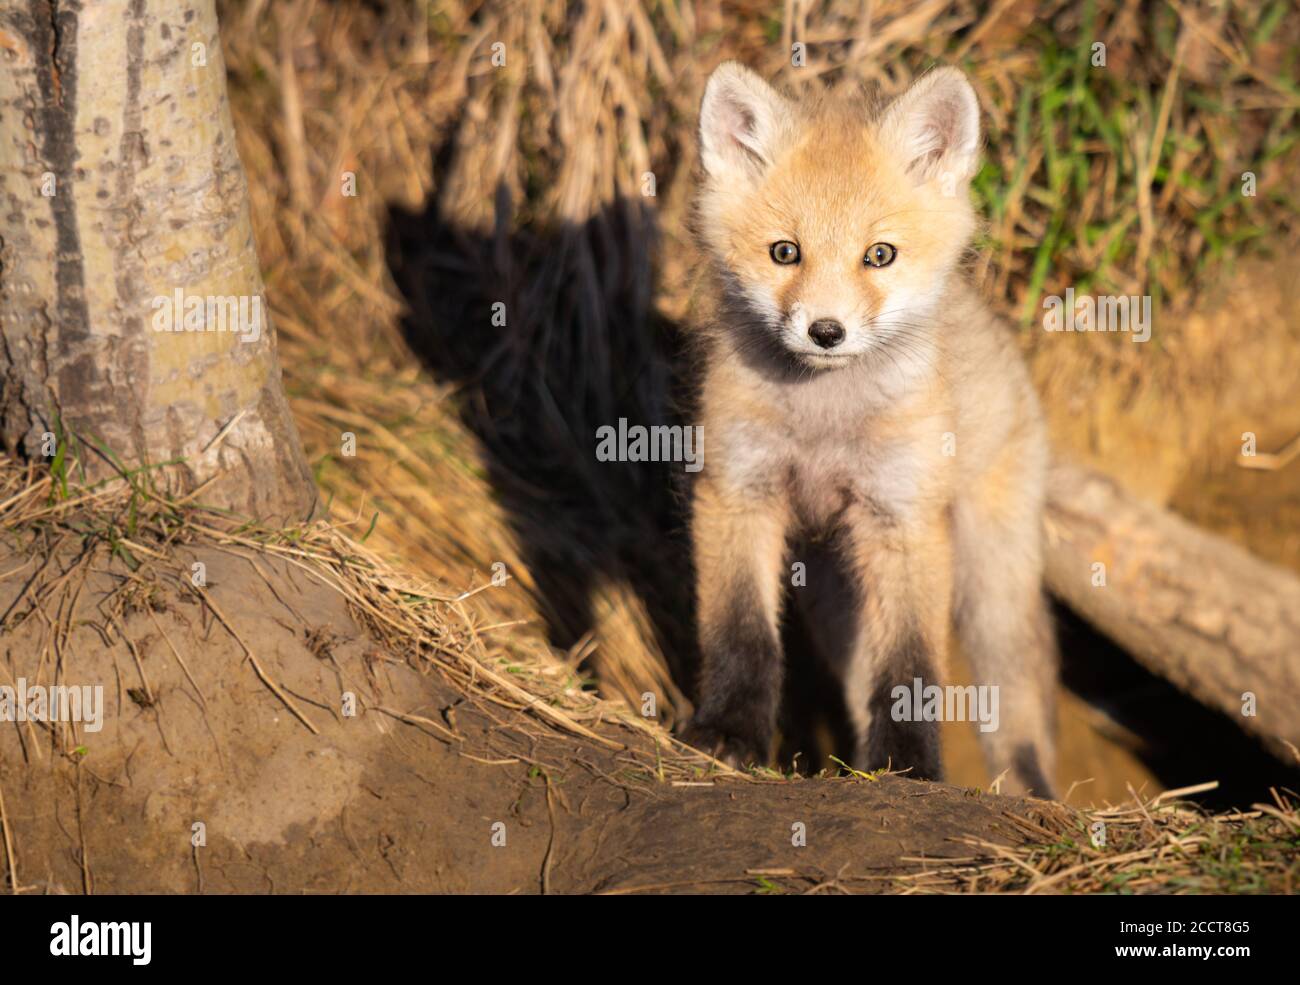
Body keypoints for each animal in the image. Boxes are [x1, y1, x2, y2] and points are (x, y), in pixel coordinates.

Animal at [678, 63, 1058, 797]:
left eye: (878, 255)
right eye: (785, 252)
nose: (827, 331)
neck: (825, 423)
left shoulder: (902, 520)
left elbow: (911, 669)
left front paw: (909, 767)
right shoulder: (737, 492)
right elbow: (742, 634)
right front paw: (731, 732)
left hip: (990, 584)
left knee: (1018, 705)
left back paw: (1032, 790)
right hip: (835, 593)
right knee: (857, 681)